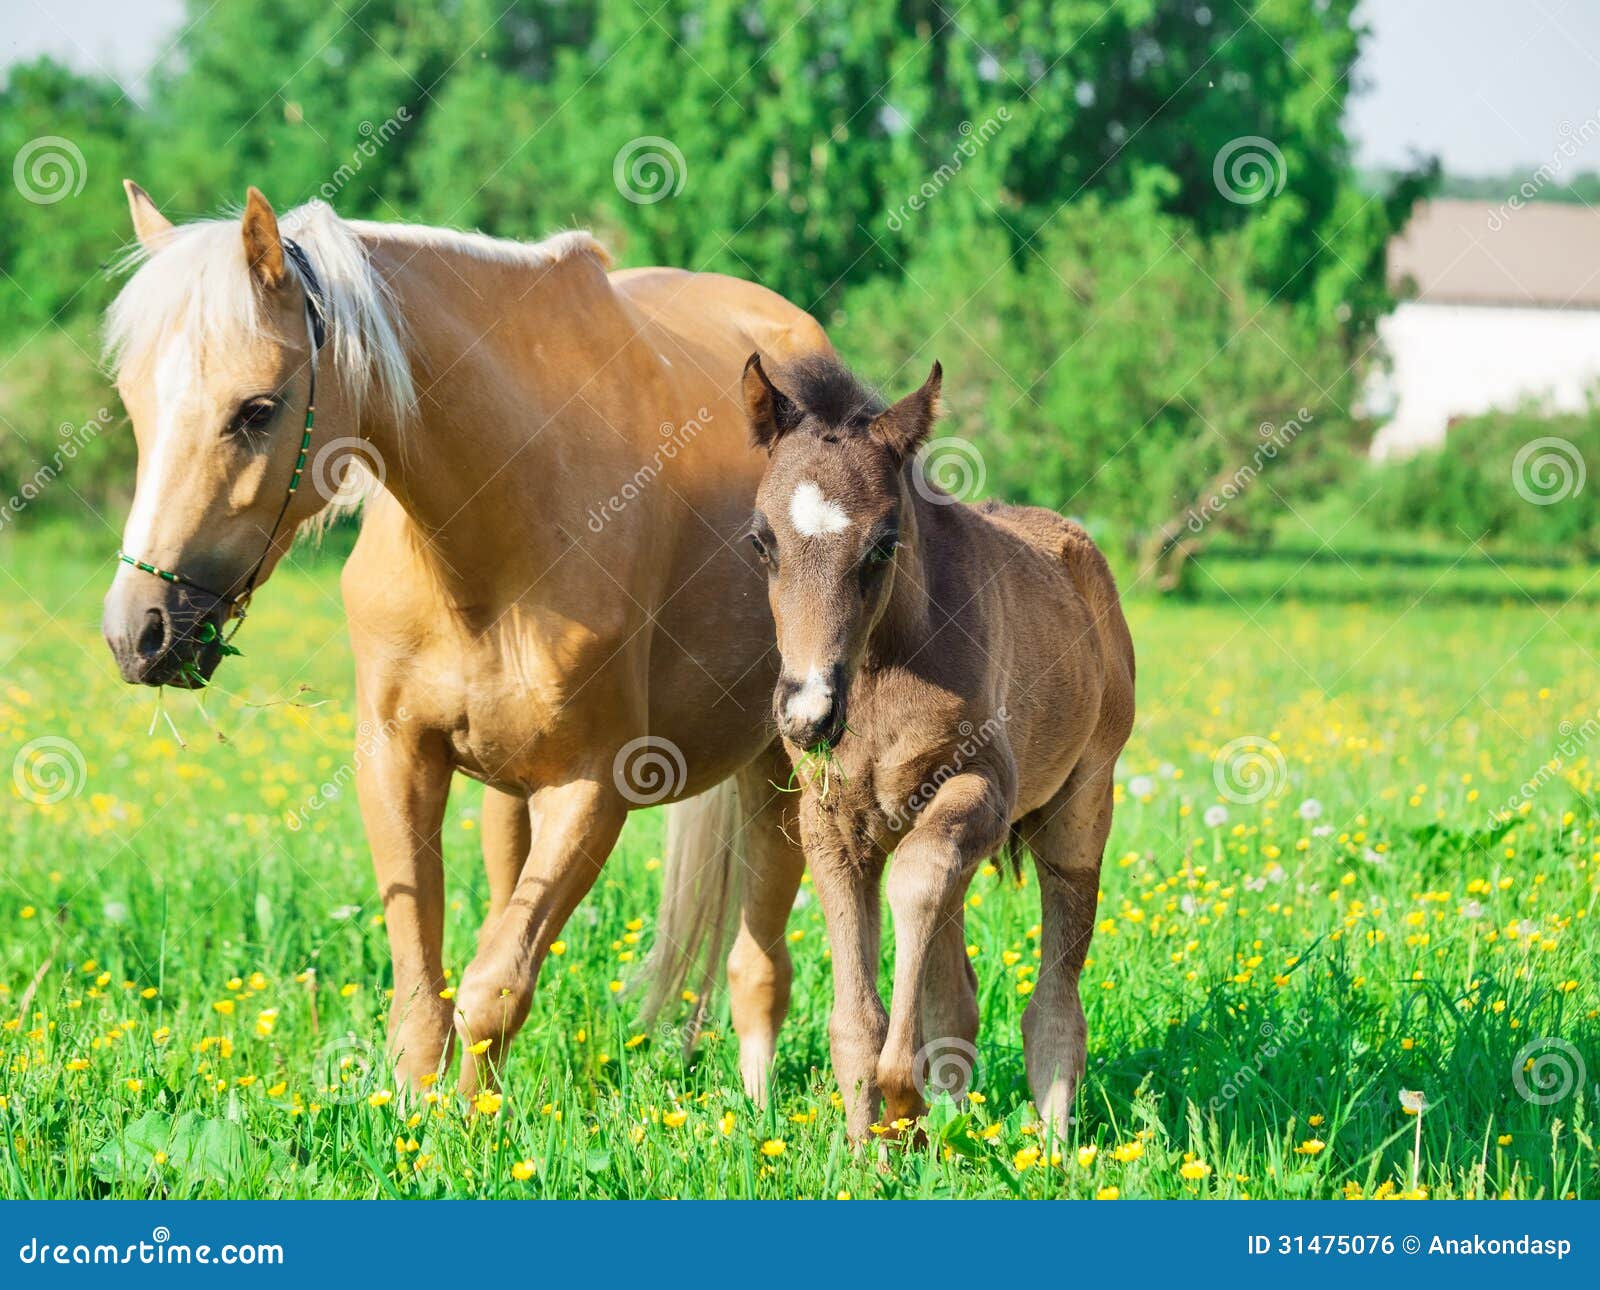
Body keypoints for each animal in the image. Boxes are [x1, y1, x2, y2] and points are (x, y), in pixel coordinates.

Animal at [98, 181, 827, 1100]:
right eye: (133, 403)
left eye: (257, 409)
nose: (138, 631)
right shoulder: (398, 758)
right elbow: (425, 992)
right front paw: (424, 1114)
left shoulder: (595, 789)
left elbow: (493, 988)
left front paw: (463, 1119)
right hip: (512, 791)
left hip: (782, 775)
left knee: (758, 964)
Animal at [736, 351, 1135, 1139]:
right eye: (762, 542)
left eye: (883, 544)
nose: (807, 714)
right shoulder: (829, 821)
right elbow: (855, 1018)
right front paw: (872, 1144)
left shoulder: (982, 786)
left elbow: (914, 885)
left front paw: (900, 1093)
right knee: (958, 987)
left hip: (1080, 804)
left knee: (1055, 1001)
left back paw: (1052, 1144)